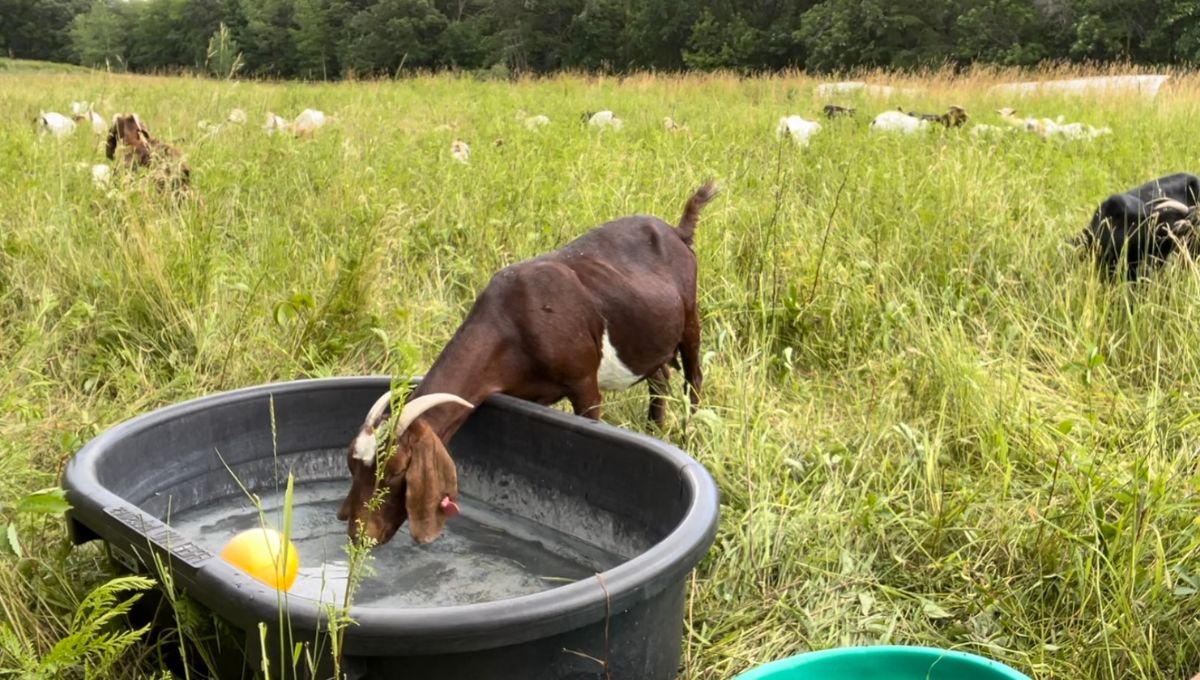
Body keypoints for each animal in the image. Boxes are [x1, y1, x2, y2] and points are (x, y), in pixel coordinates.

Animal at [337, 182, 720, 546]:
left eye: (396, 470)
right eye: (352, 464)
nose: (359, 536)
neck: (514, 320)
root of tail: (677, 231)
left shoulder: (584, 381)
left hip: (690, 316)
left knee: (694, 375)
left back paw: (689, 431)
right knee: (660, 376)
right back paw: (656, 427)